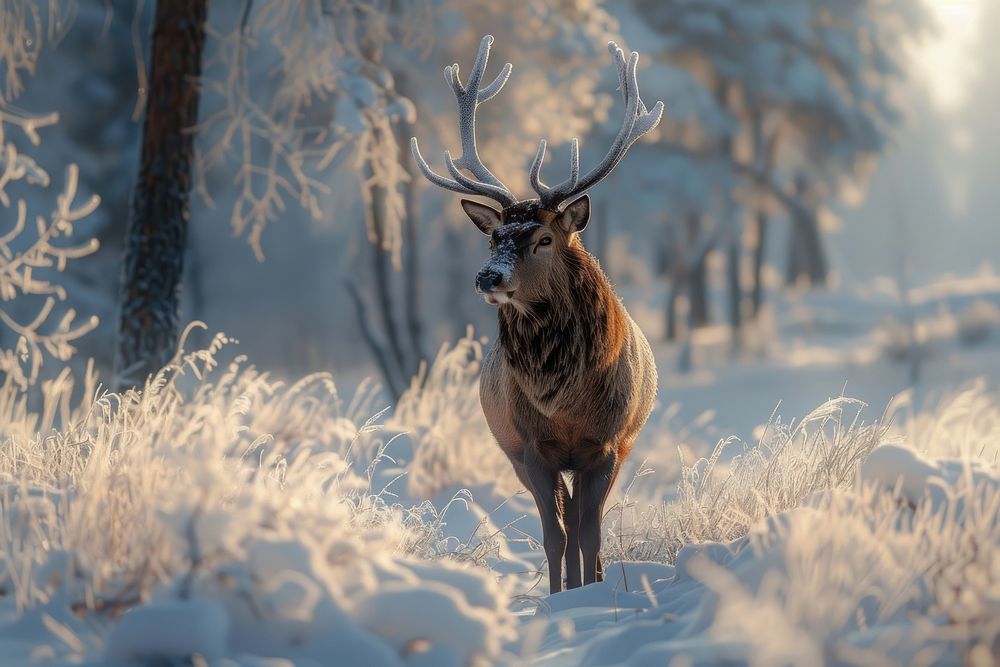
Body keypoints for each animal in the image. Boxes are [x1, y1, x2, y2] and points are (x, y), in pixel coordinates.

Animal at [410, 35, 661, 594]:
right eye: (494, 238)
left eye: (544, 238)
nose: (488, 277)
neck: (562, 402)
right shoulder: (531, 449)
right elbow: (555, 536)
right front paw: (560, 596)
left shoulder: (605, 444)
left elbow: (589, 533)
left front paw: (588, 593)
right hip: (516, 454)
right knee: (566, 521)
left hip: (624, 446)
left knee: (588, 521)